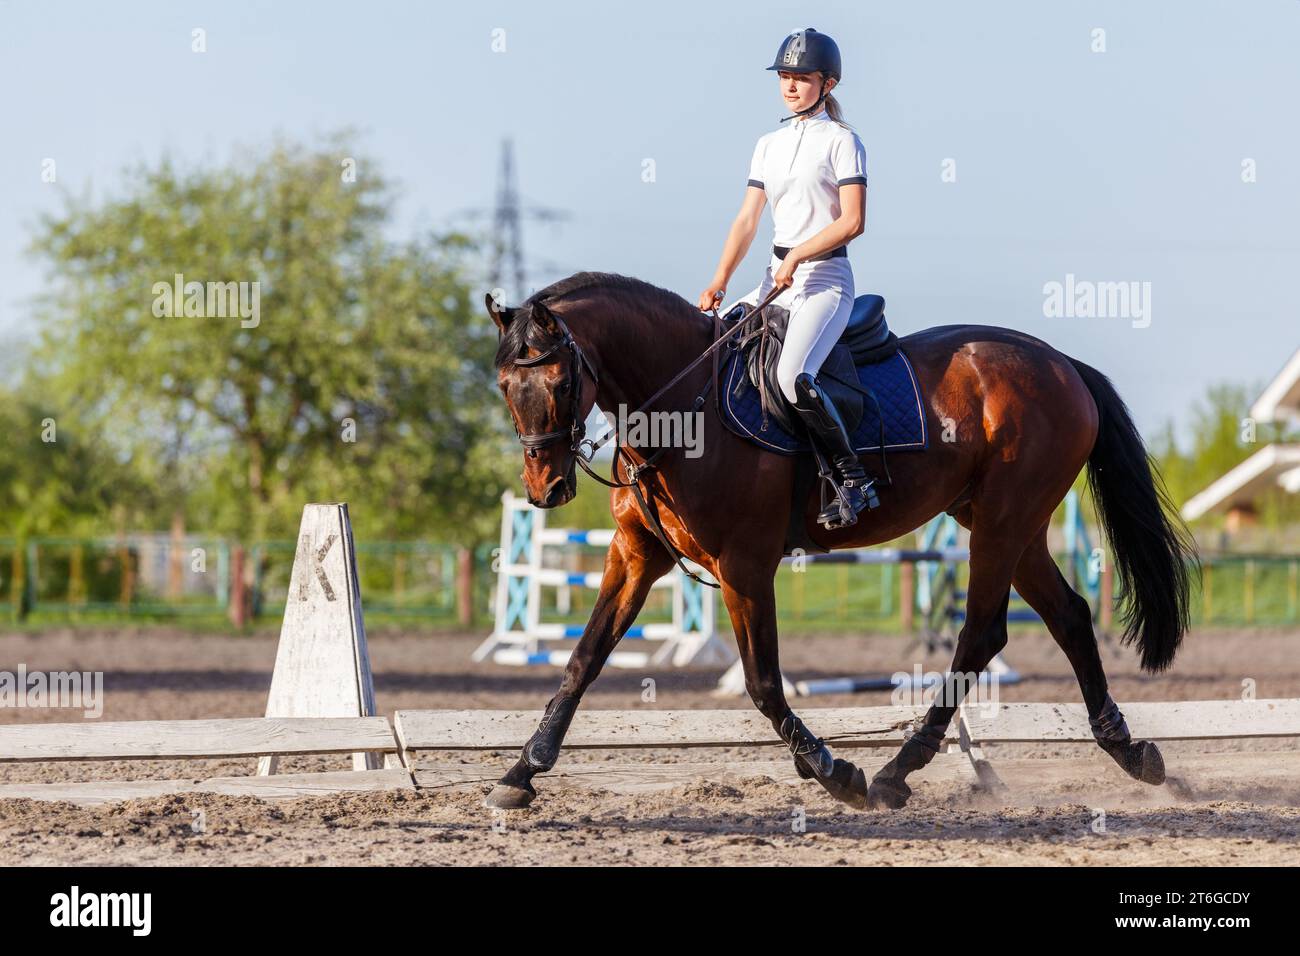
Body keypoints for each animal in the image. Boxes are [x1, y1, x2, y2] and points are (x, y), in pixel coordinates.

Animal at [483, 271, 1196, 811]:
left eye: (563, 383)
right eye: (505, 386)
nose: (546, 489)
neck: (682, 407)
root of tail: (1061, 363)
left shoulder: (744, 566)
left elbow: (763, 683)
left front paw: (834, 773)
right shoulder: (635, 557)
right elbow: (584, 658)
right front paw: (522, 772)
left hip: (1003, 522)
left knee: (979, 635)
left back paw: (895, 772)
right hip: (1006, 525)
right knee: (1067, 618)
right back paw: (1132, 753)